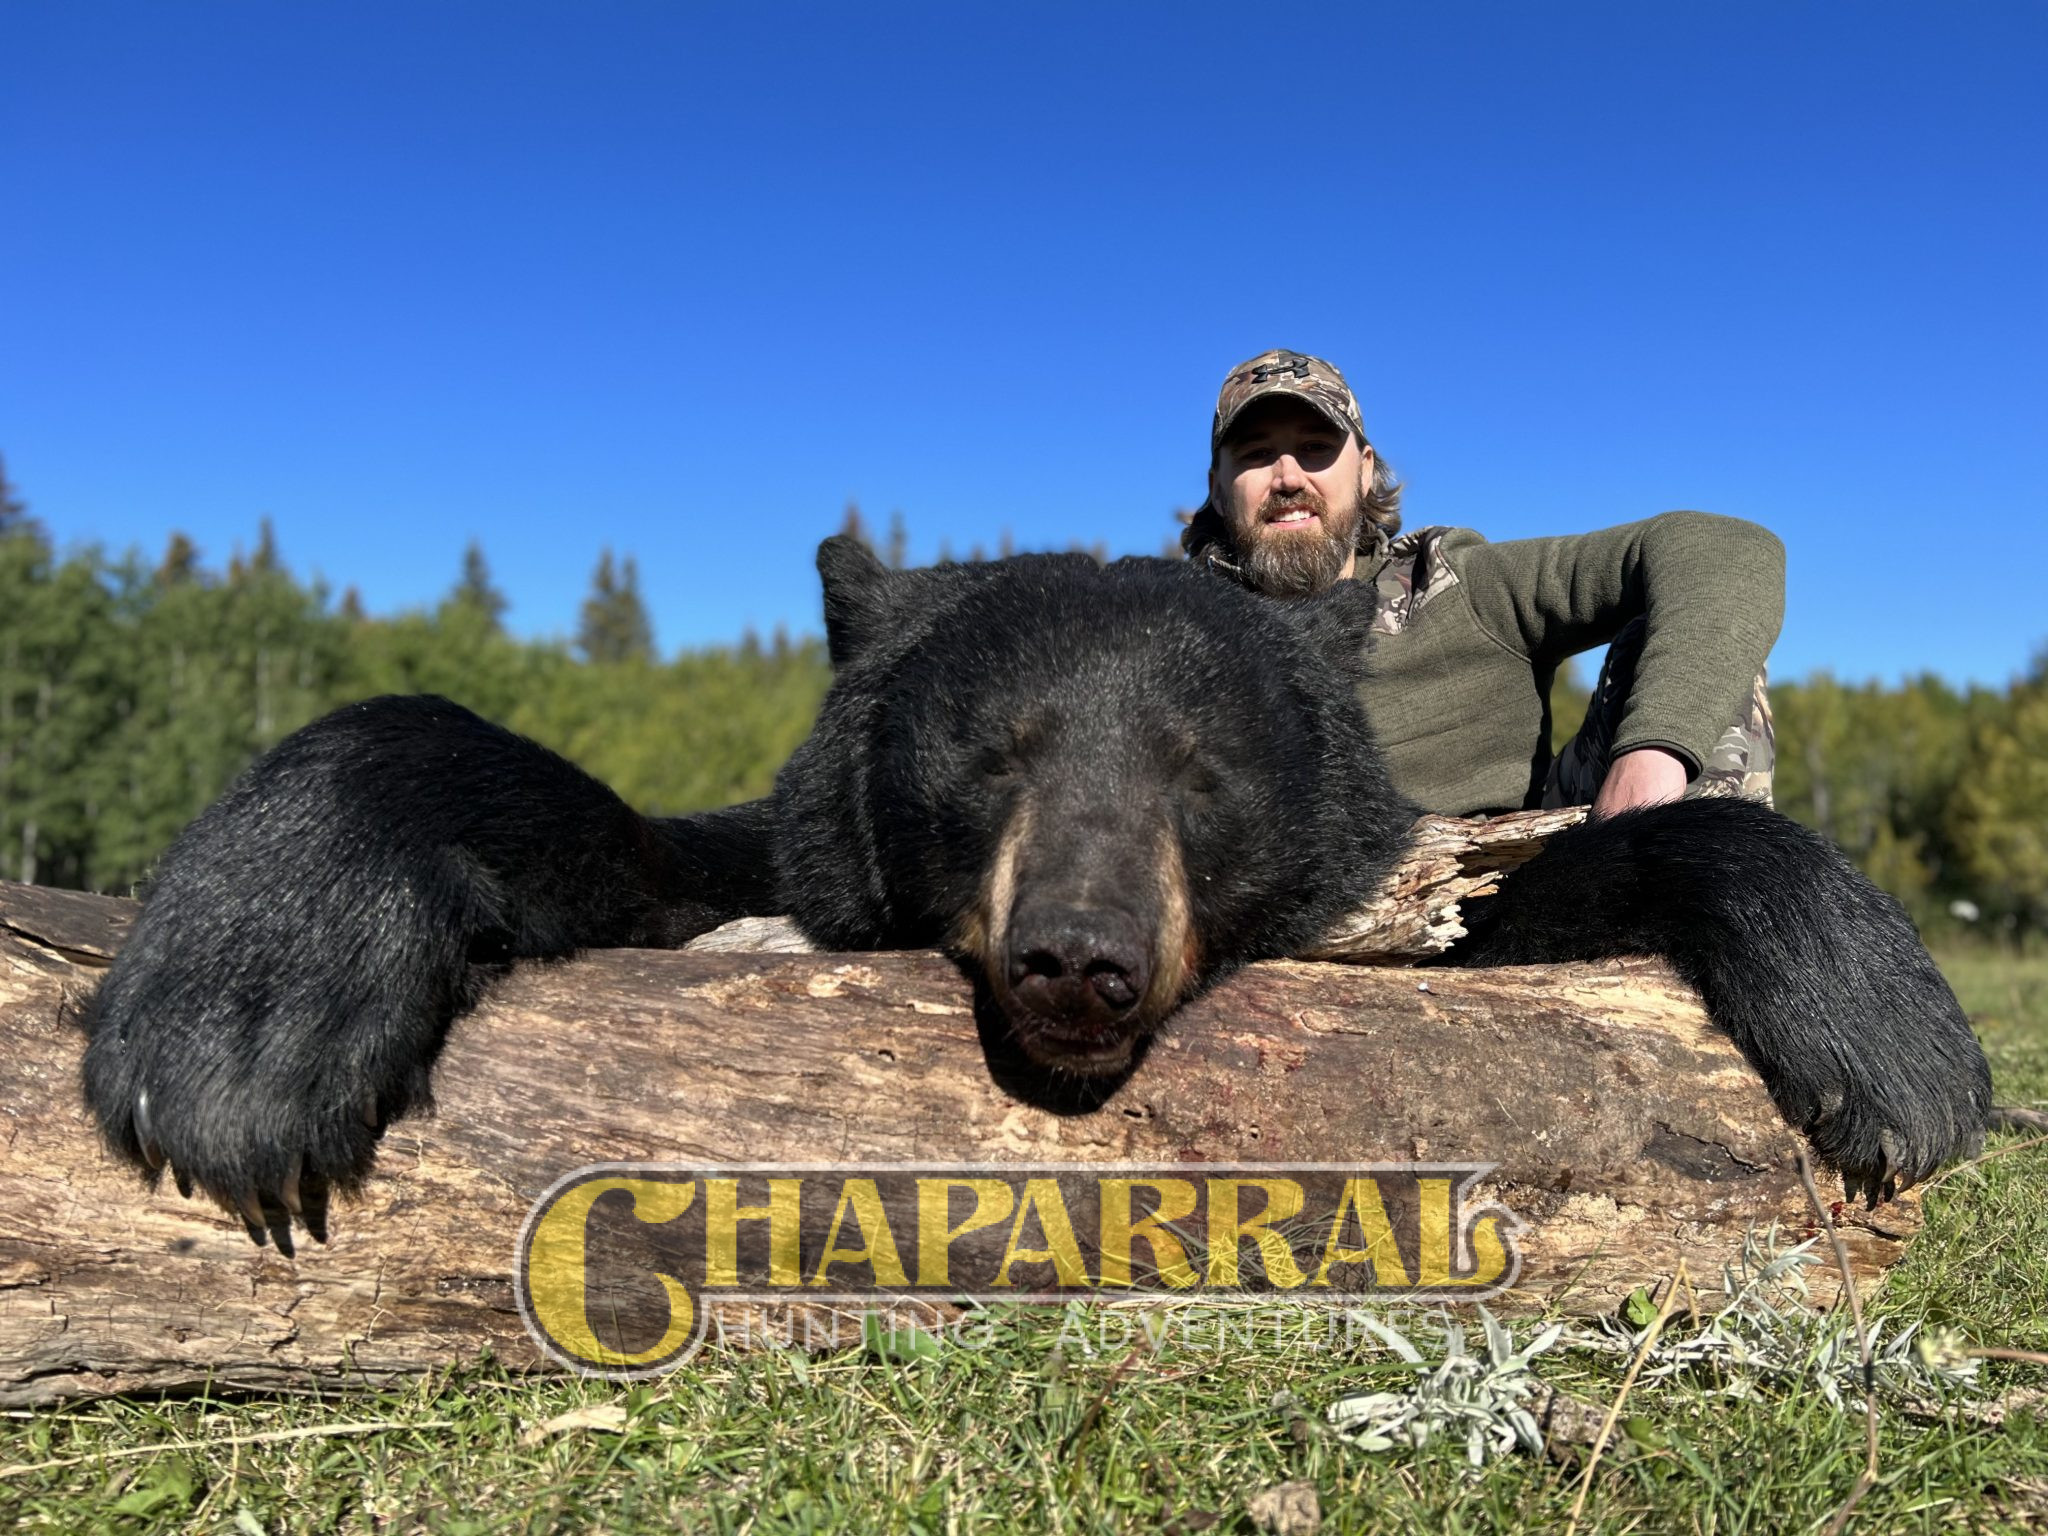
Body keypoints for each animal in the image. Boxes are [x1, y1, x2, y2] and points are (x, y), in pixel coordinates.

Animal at [80, 535, 1994, 1248]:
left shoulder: (1381, 901)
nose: (1078, 958)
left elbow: (1527, 895)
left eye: (1199, 767)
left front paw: (1898, 1052)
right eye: (988, 755)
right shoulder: (785, 858)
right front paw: (242, 1022)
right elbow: (619, 846)